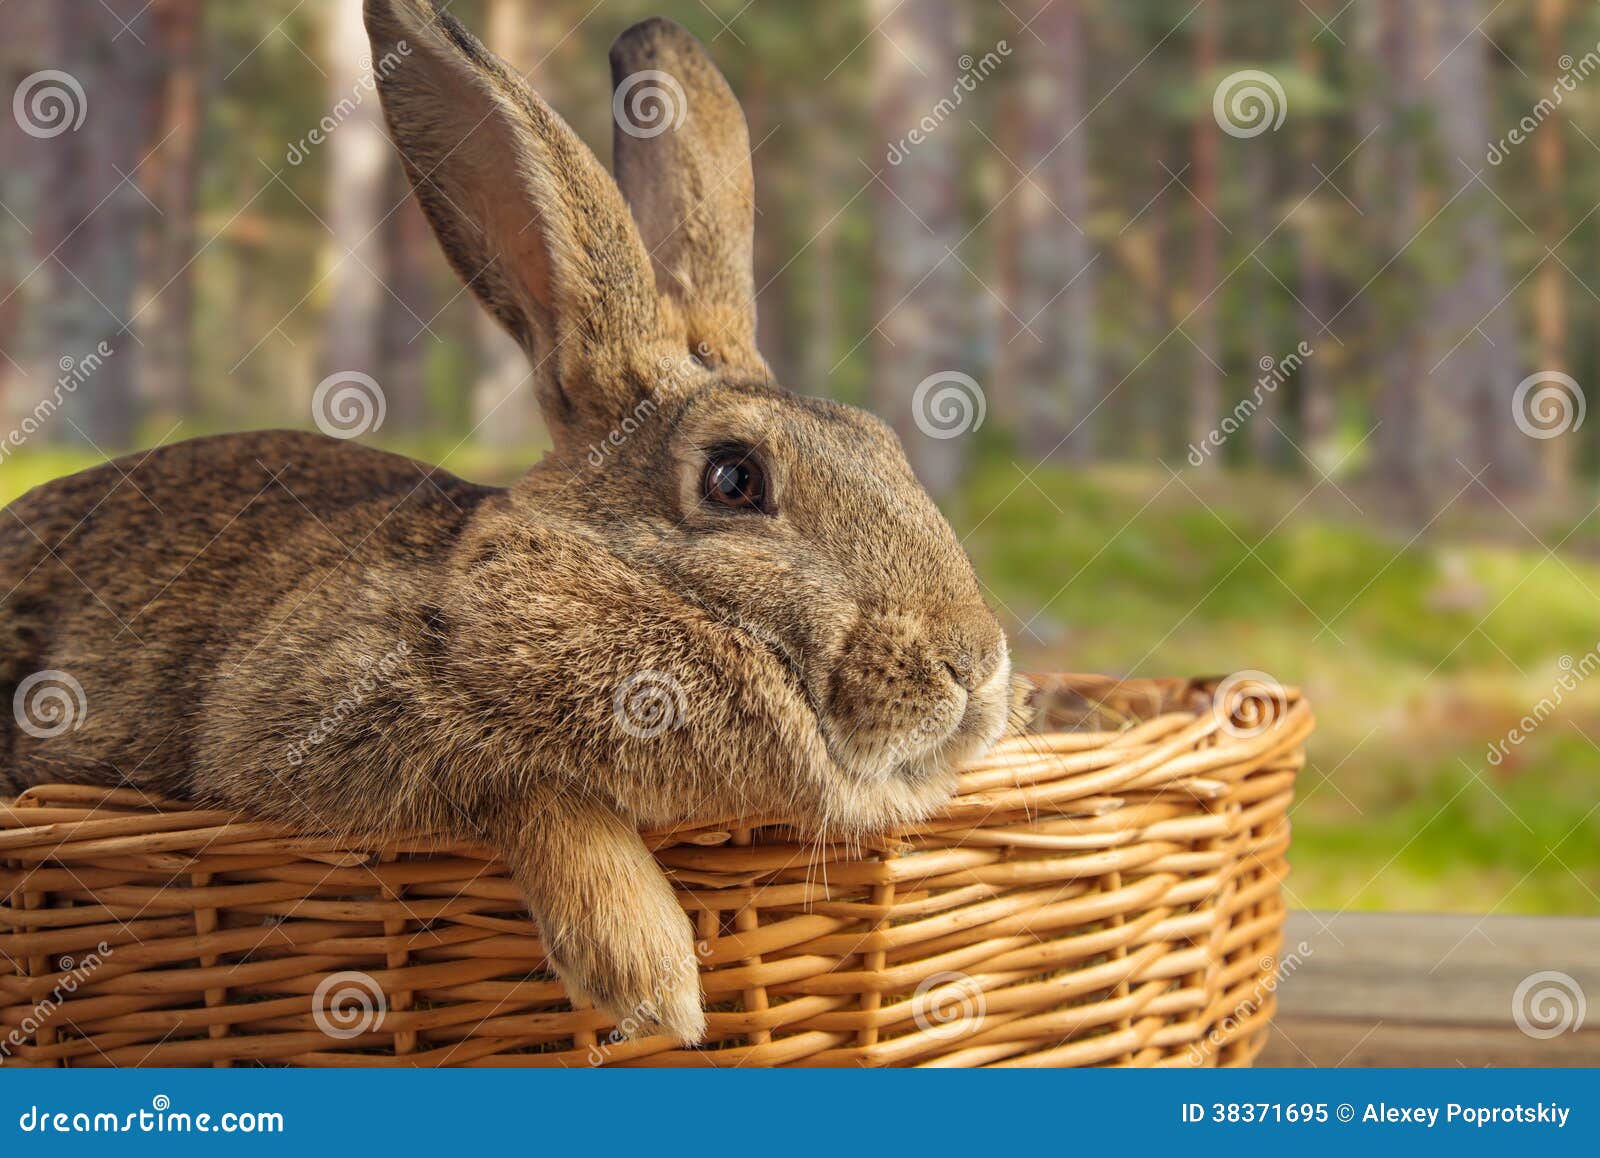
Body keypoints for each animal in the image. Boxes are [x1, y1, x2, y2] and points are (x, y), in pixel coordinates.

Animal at [0, 0, 1017, 1046]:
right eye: (735, 478)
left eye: (882, 442)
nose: (974, 663)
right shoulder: (305, 726)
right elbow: (529, 787)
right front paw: (648, 979)